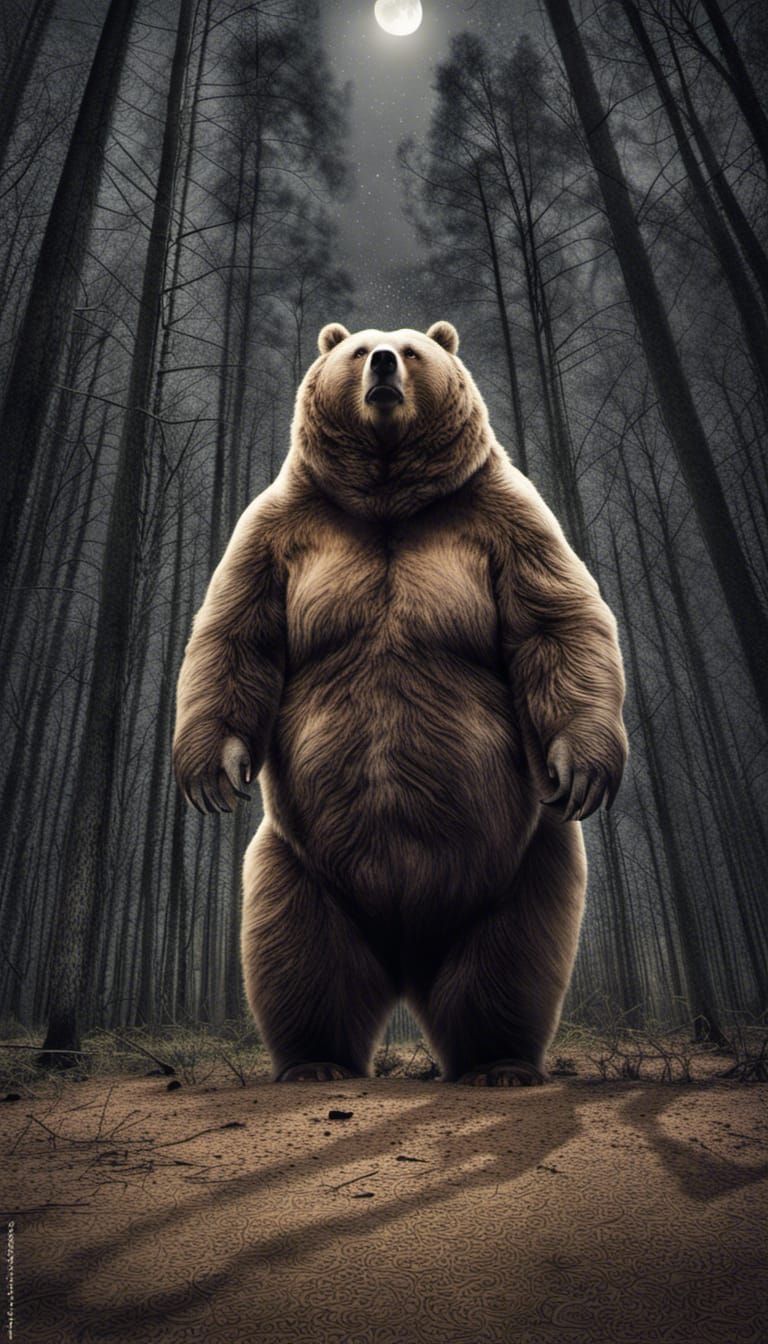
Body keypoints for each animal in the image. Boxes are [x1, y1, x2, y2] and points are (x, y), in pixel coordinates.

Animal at [172, 321, 627, 1086]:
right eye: (358, 350)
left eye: (414, 350)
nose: (384, 364)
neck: (388, 497)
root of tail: (408, 963)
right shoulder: (281, 526)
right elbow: (237, 629)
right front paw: (210, 772)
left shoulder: (502, 514)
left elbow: (556, 618)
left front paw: (586, 766)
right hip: (301, 865)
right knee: (296, 953)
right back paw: (315, 1062)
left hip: (518, 860)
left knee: (514, 957)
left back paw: (499, 1061)